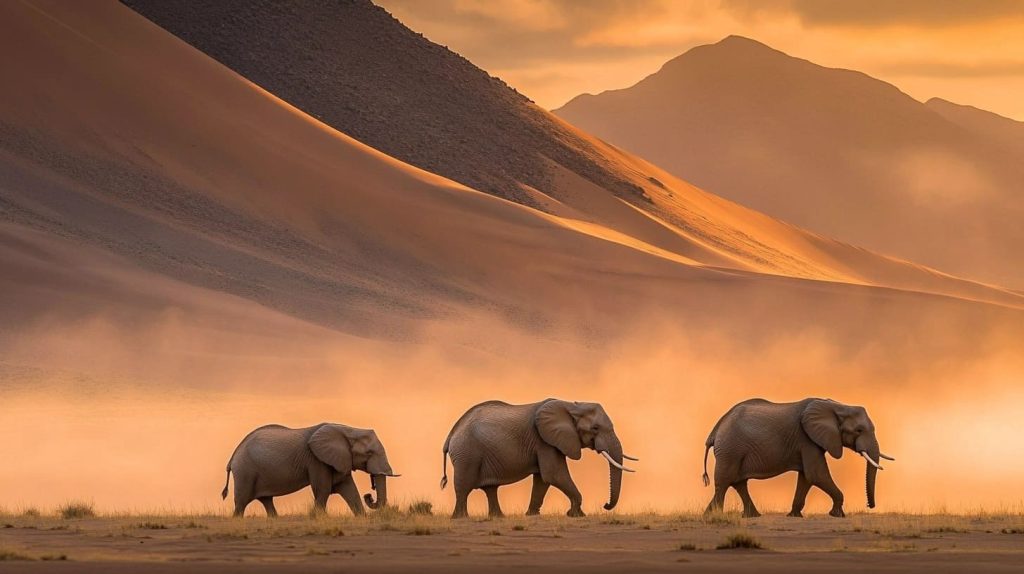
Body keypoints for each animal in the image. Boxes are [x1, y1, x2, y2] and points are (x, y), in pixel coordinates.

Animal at [221, 423, 399, 517]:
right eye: (368, 453)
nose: (369, 495)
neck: (348, 430)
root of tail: (233, 457)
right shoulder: (316, 460)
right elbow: (323, 489)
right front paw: (320, 518)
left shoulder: (339, 459)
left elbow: (348, 488)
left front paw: (361, 518)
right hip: (245, 472)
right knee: (241, 502)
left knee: (266, 500)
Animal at [440, 399, 637, 518]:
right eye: (595, 428)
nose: (605, 504)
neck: (571, 405)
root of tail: (450, 435)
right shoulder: (544, 440)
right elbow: (554, 474)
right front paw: (576, 514)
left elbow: (543, 479)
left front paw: (531, 515)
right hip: (467, 453)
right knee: (463, 486)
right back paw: (460, 518)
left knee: (490, 488)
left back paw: (498, 517)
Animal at [702, 398, 894, 518]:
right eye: (859, 430)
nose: (870, 506)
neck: (836, 406)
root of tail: (715, 431)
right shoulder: (806, 439)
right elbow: (816, 474)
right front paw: (838, 515)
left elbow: (807, 477)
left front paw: (794, 515)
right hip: (730, 449)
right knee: (725, 482)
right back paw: (714, 516)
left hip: (733, 451)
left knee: (738, 483)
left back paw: (747, 516)